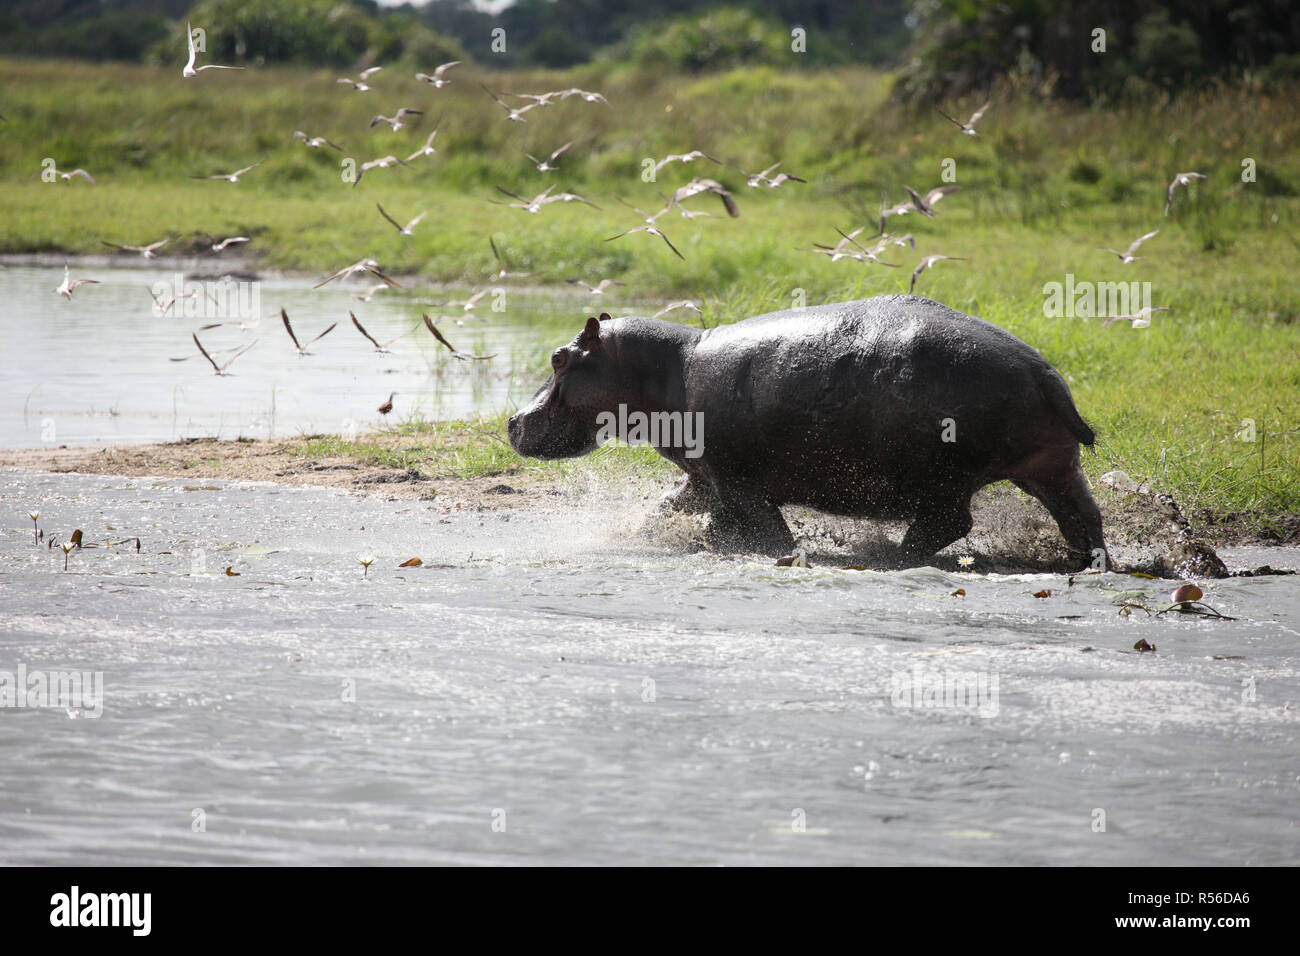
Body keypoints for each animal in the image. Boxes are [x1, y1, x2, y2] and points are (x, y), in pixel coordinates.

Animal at [508, 295, 1107, 569]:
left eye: (559, 357)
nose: (512, 420)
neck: (665, 366)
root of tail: (1043, 371)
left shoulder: (739, 482)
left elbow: (768, 532)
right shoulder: (706, 478)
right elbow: (672, 508)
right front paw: (641, 536)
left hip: (945, 477)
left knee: (949, 521)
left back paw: (893, 557)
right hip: (1051, 467)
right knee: (1082, 514)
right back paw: (1090, 563)